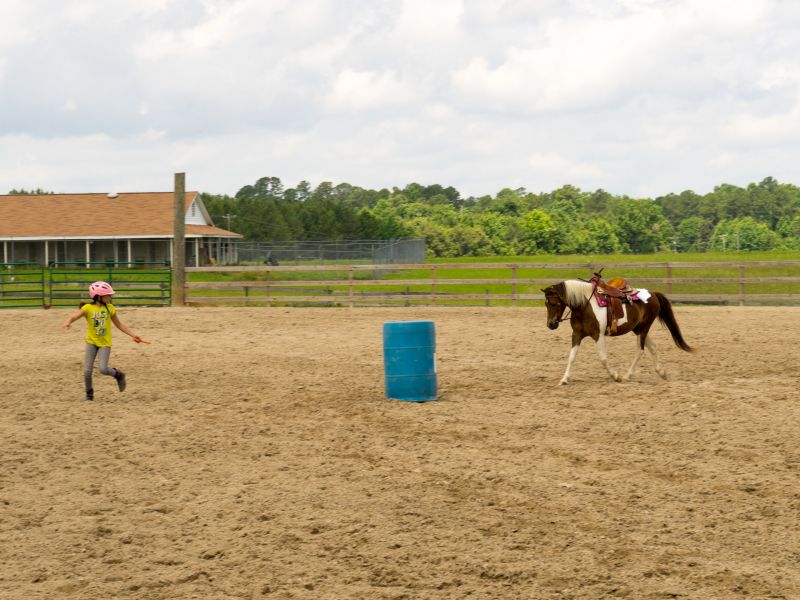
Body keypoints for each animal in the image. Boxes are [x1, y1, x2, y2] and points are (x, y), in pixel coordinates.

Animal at [542, 279, 693, 385]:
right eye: (546, 303)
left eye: (556, 303)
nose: (551, 324)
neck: (585, 306)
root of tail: (653, 294)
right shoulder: (577, 334)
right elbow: (571, 357)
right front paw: (564, 379)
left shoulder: (598, 335)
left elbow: (603, 358)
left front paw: (616, 376)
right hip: (638, 329)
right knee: (653, 347)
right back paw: (662, 372)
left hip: (644, 328)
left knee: (640, 350)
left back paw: (627, 376)